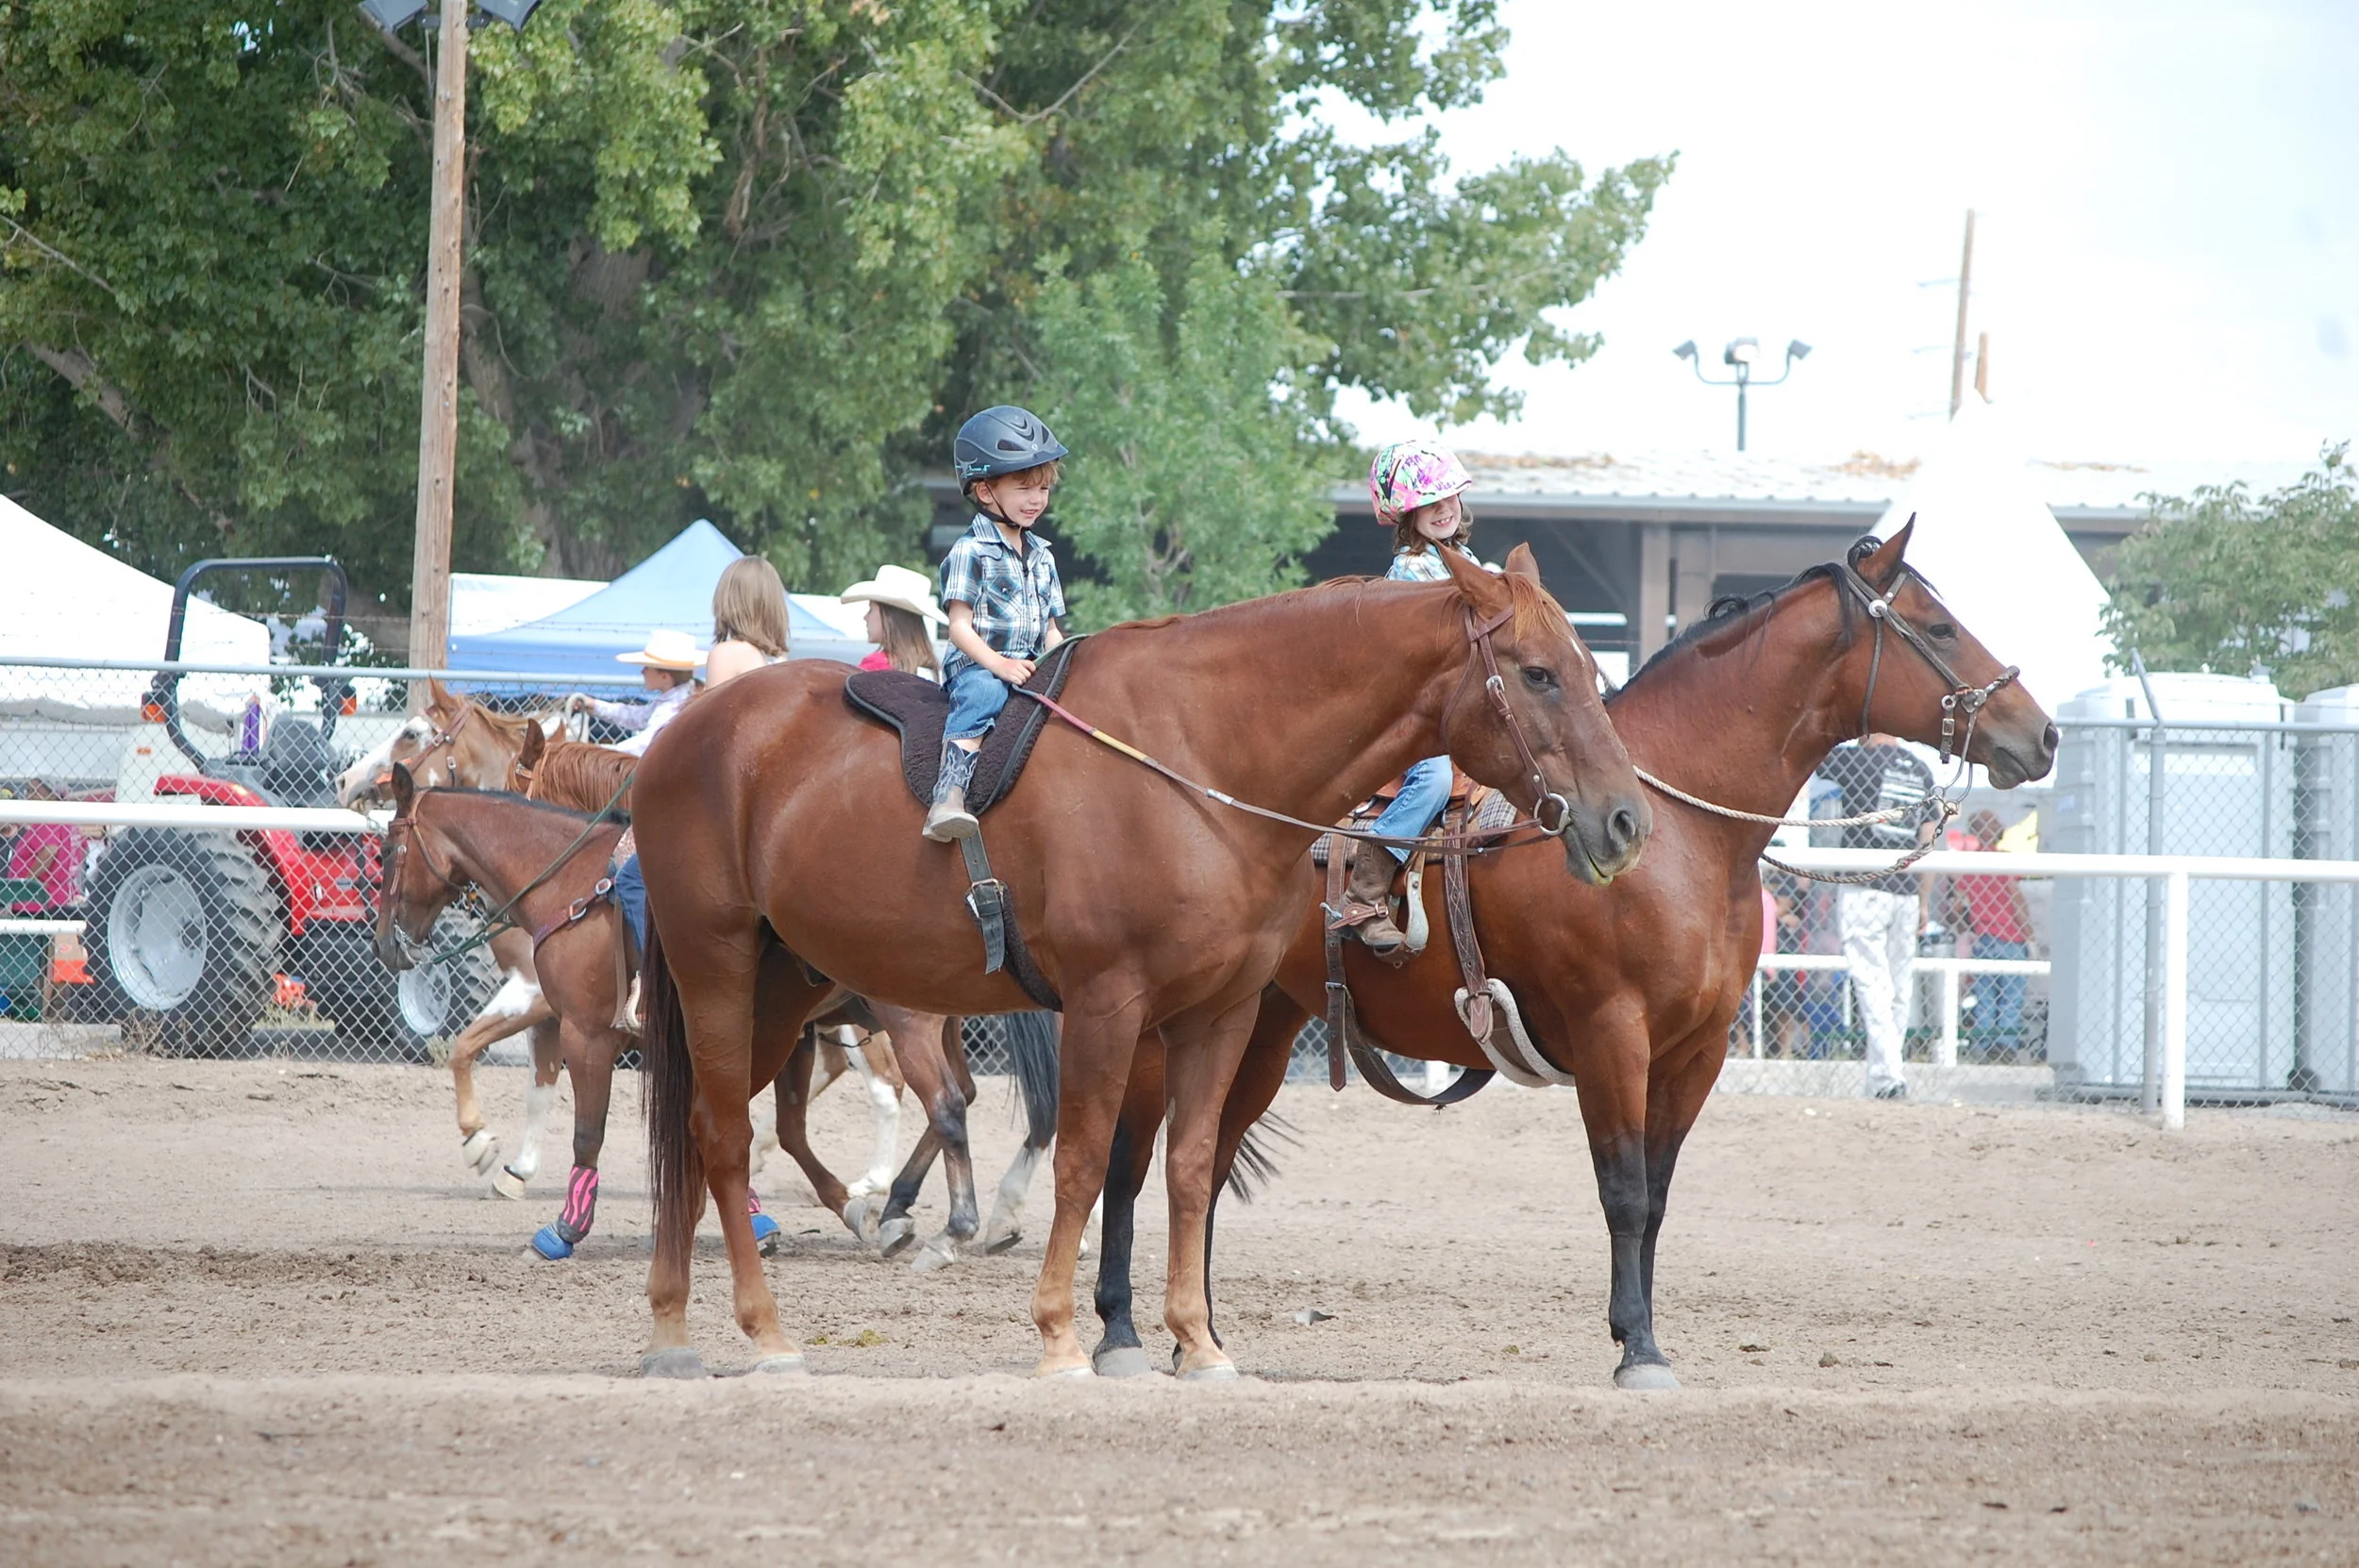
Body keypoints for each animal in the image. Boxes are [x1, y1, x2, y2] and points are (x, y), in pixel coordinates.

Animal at [630, 546, 1651, 1378]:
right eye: (1537, 674)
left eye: (1588, 668)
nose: (1627, 821)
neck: (1199, 759)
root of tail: (684, 735)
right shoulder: (1107, 1006)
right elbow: (1084, 1164)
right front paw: (1059, 1337)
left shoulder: (1219, 1014)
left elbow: (1190, 1168)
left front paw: (1196, 1343)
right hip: (716, 966)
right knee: (724, 1138)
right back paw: (764, 1332)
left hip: (780, 991)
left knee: (700, 1132)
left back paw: (672, 1332)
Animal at [1089, 525, 2060, 1386]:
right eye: (1940, 626)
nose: (2042, 733)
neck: (1689, 834)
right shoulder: (1611, 1036)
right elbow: (1621, 1190)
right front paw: (1639, 1353)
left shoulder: (1697, 1053)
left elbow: (1656, 1199)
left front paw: (1646, 1335)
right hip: (1158, 1028)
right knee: (1130, 1159)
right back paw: (1121, 1333)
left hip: (1260, 1024)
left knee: (1206, 1163)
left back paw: (1200, 1337)